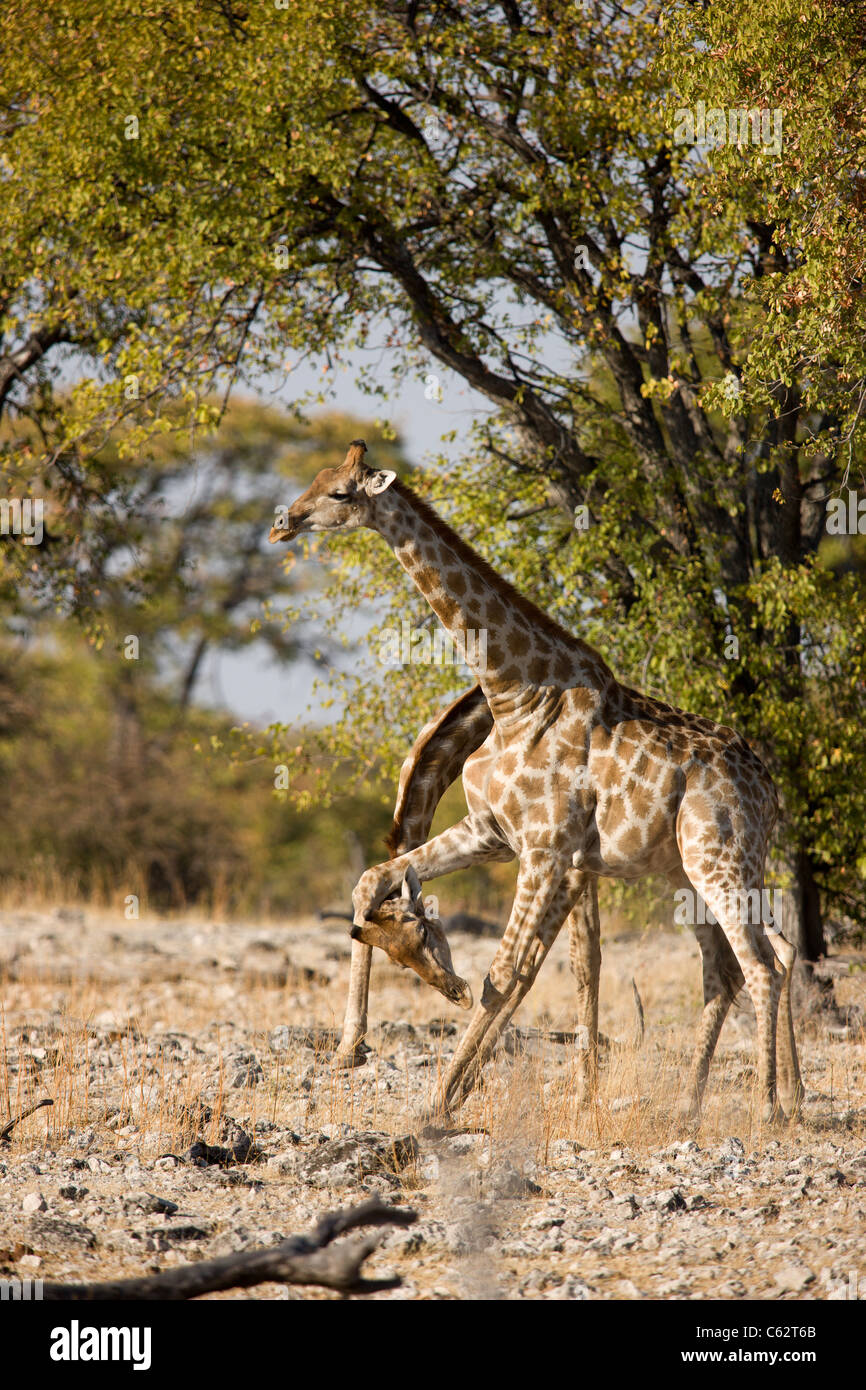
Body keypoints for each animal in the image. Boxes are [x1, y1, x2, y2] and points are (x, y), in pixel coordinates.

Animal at [269, 440, 802, 1124]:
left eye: (339, 493)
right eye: (314, 479)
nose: (284, 522)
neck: (513, 693)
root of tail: (770, 790)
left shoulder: (550, 853)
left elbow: (510, 969)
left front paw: (440, 1101)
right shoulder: (492, 833)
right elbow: (372, 880)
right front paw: (352, 1049)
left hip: (720, 860)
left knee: (761, 964)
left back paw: (769, 1110)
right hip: (694, 869)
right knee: (731, 968)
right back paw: (693, 1105)